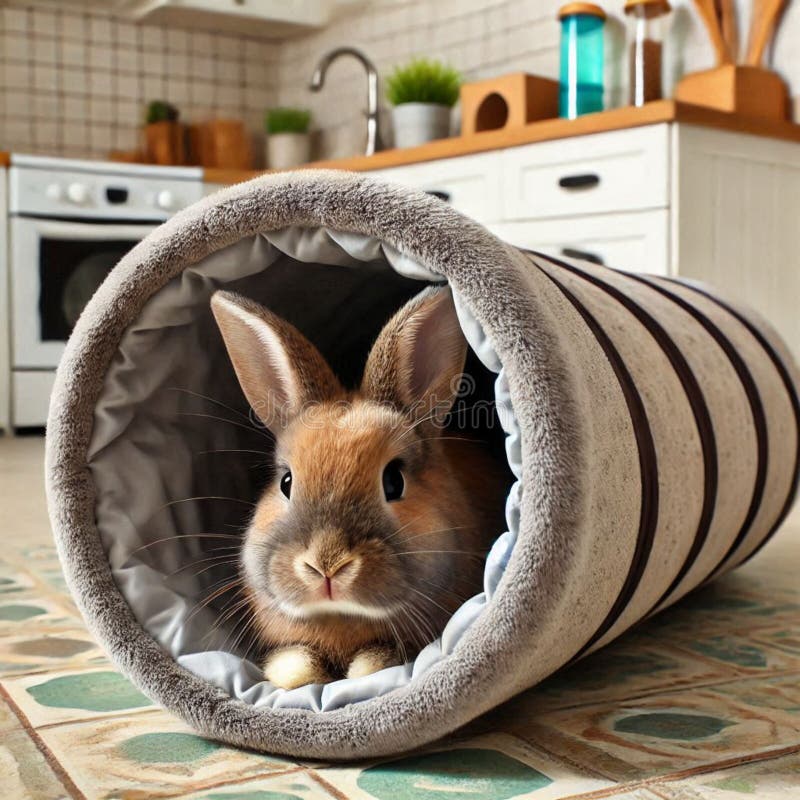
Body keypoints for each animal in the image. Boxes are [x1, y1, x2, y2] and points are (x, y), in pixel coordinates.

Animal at [210, 285, 508, 690]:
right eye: (286, 482)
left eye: (394, 481)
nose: (327, 565)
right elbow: (293, 663)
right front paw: (301, 676)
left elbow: (373, 664)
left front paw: (360, 670)